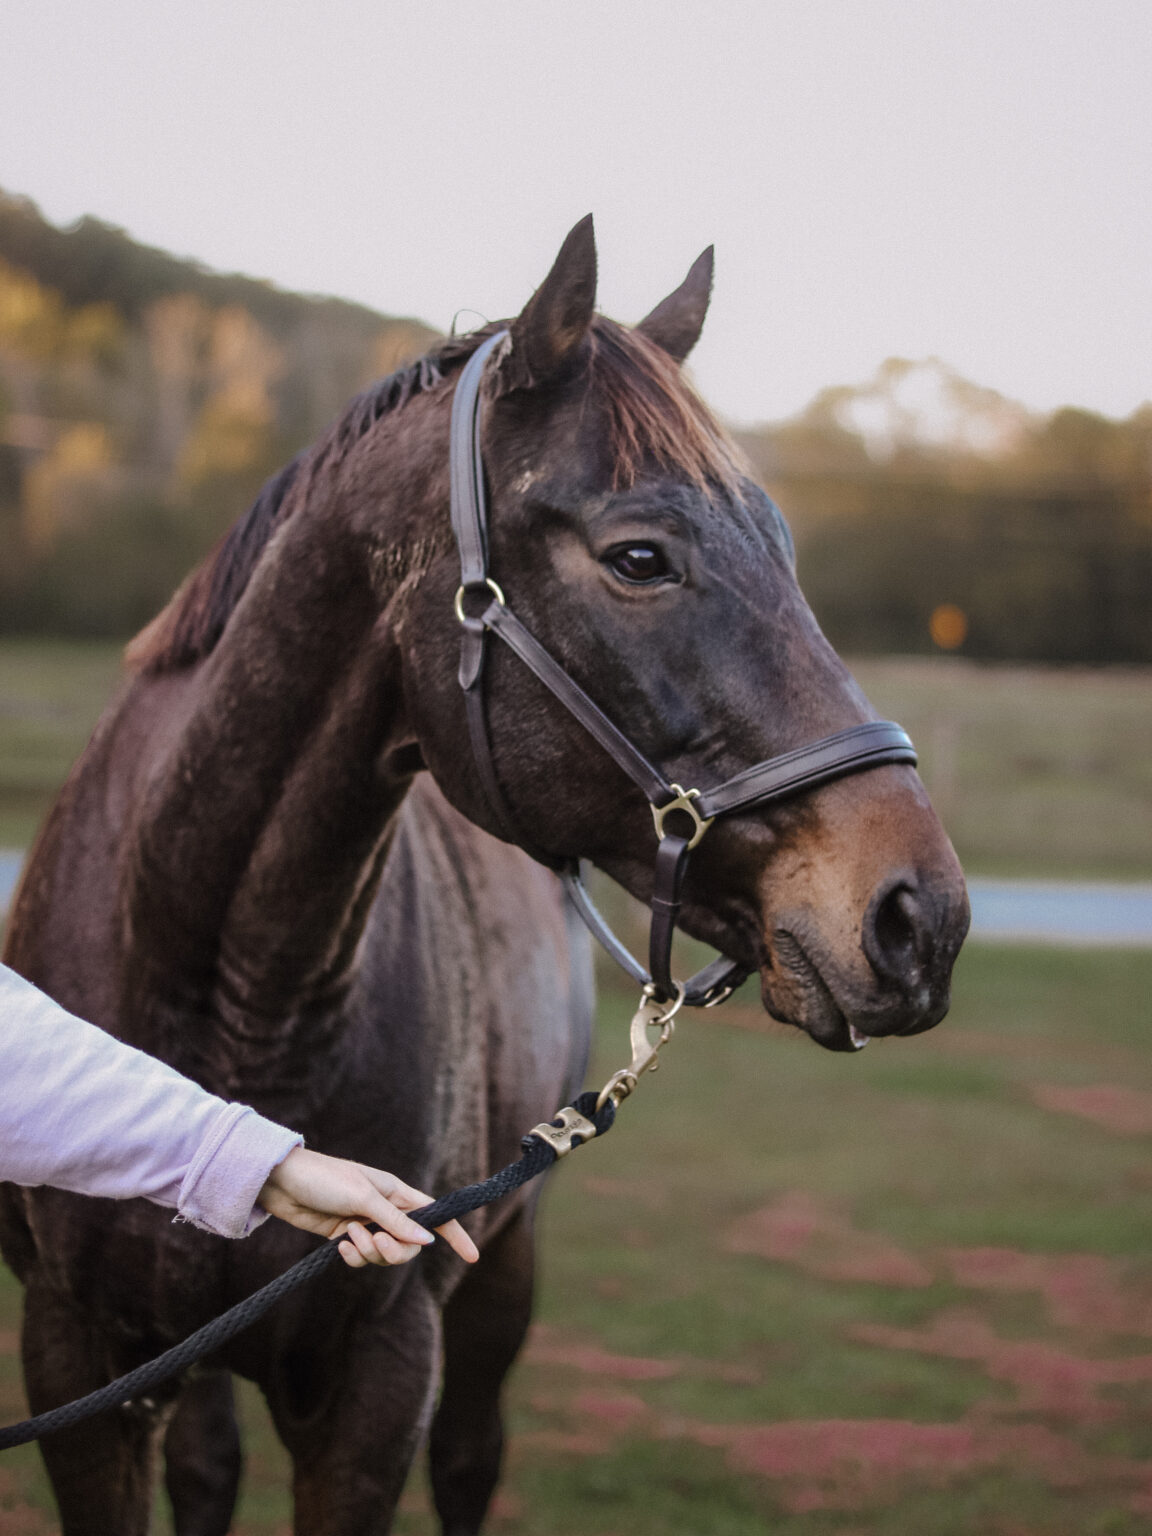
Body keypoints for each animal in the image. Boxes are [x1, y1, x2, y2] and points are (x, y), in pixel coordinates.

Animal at [0, 217, 969, 1534]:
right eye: (640, 556)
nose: (922, 918)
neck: (218, 989)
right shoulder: (82, 1367)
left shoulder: (380, 1370)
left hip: (507, 1266)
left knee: (471, 1459)